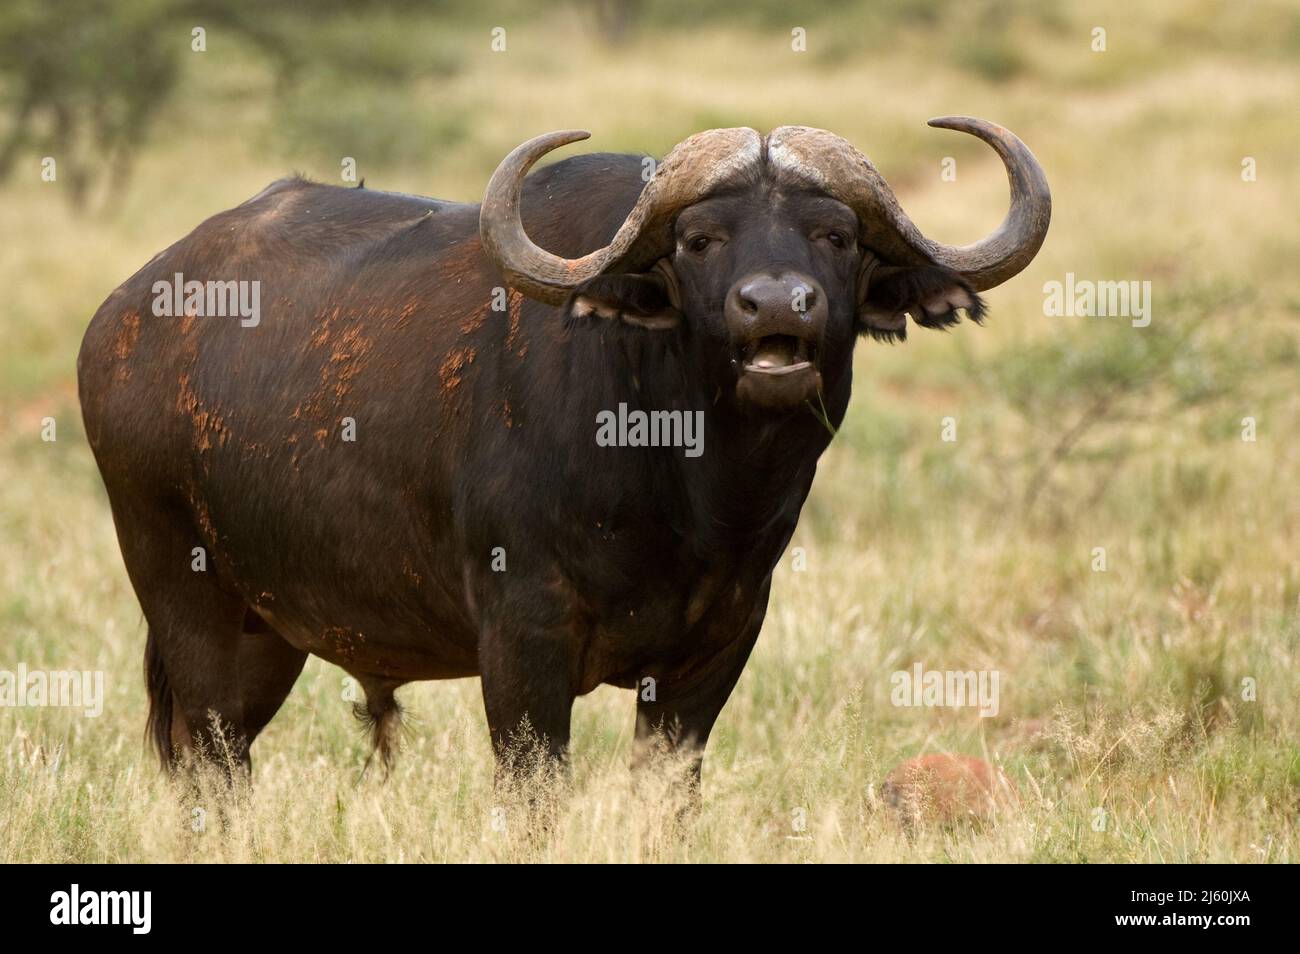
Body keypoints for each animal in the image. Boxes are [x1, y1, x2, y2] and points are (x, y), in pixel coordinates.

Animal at [77, 117, 1050, 782]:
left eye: (836, 237)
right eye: (701, 240)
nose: (775, 305)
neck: (688, 494)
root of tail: (120, 319)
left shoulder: (718, 652)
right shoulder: (522, 646)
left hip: (269, 630)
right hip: (183, 595)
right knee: (209, 763)